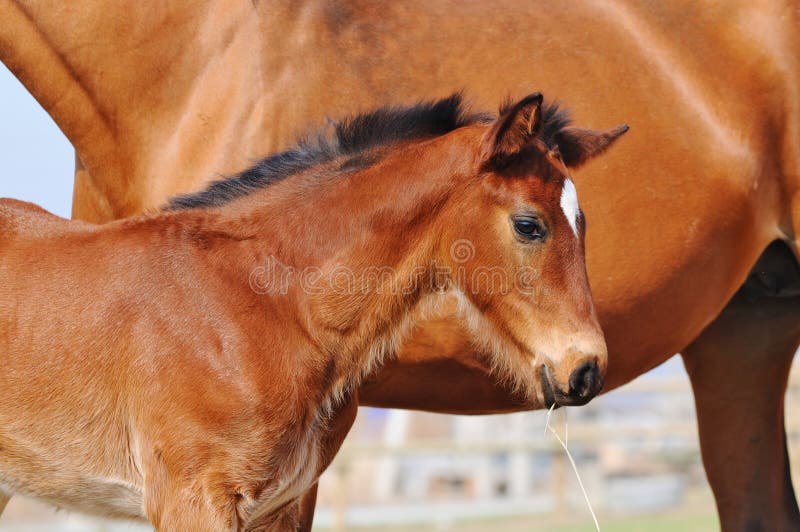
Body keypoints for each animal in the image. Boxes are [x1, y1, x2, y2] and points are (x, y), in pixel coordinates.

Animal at [0, 94, 626, 529]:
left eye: (585, 221)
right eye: (529, 224)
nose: (586, 370)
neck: (264, 306)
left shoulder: (288, 502)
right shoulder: (191, 498)